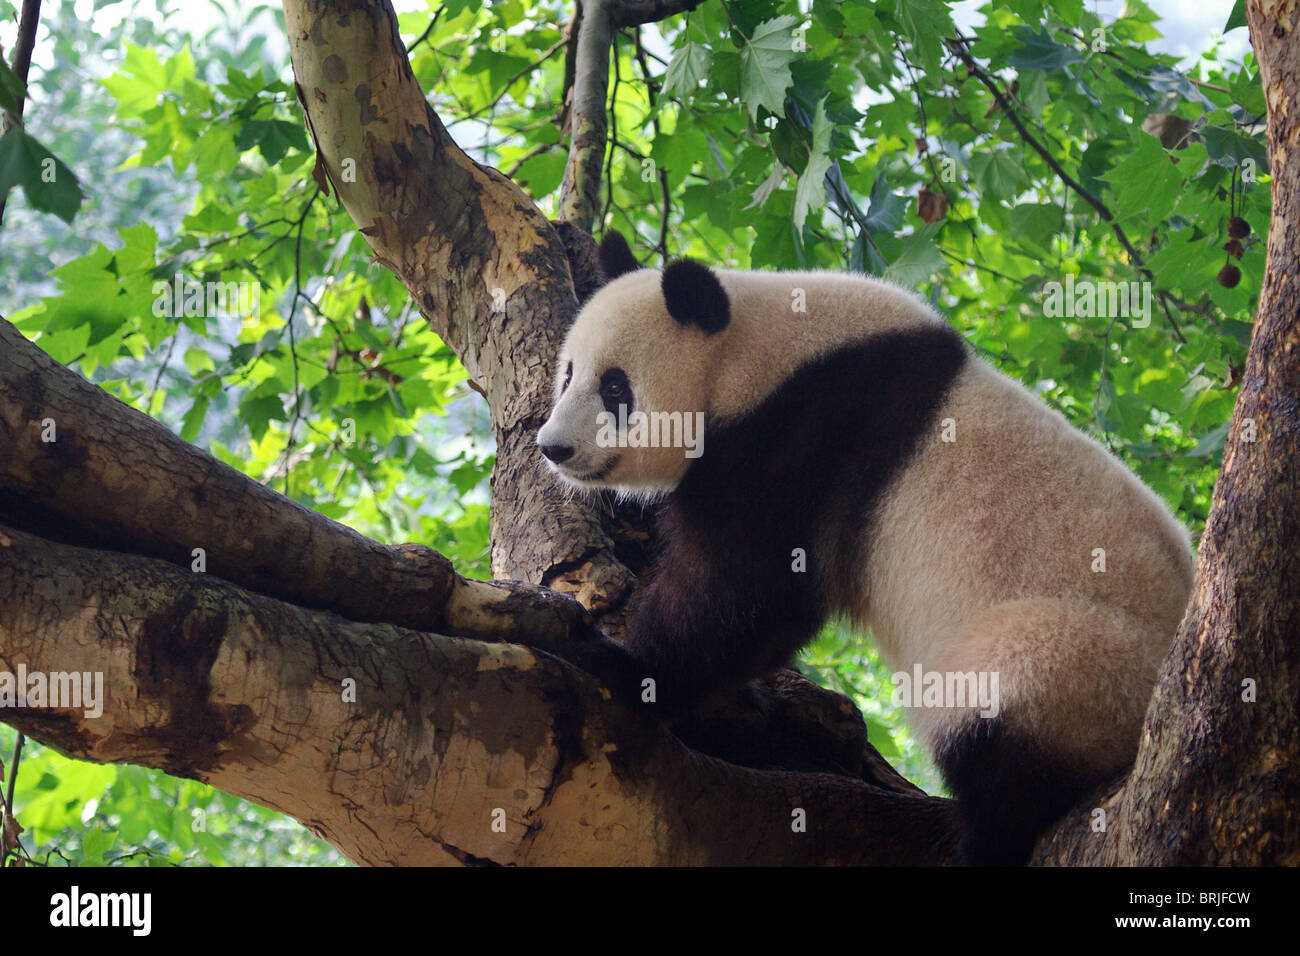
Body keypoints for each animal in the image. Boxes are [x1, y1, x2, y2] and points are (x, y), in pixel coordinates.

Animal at [536, 231, 1195, 865]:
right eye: (567, 374)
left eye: (615, 387)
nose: (553, 447)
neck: (749, 351)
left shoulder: (807, 435)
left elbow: (749, 595)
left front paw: (622, 667)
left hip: (1084, 660)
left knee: (1000, 709)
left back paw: (984, 841)